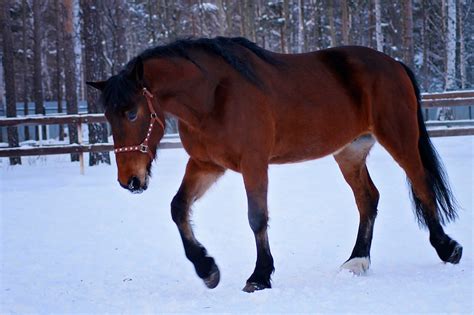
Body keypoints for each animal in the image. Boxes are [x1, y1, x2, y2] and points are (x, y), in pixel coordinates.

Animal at [86, 36, 462, 294]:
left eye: (132, 113)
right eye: (107, 117)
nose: (130, 180)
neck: (214, 96)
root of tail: (394, 64)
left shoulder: (254, 164)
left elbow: (256, 218)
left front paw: (260, 275)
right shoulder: (206, 164)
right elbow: (178, 208)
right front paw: (207, 268)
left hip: (400, 139)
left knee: (421, 184)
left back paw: (448, 248)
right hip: (350, 152)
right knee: (368, 199)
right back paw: (357, 261)